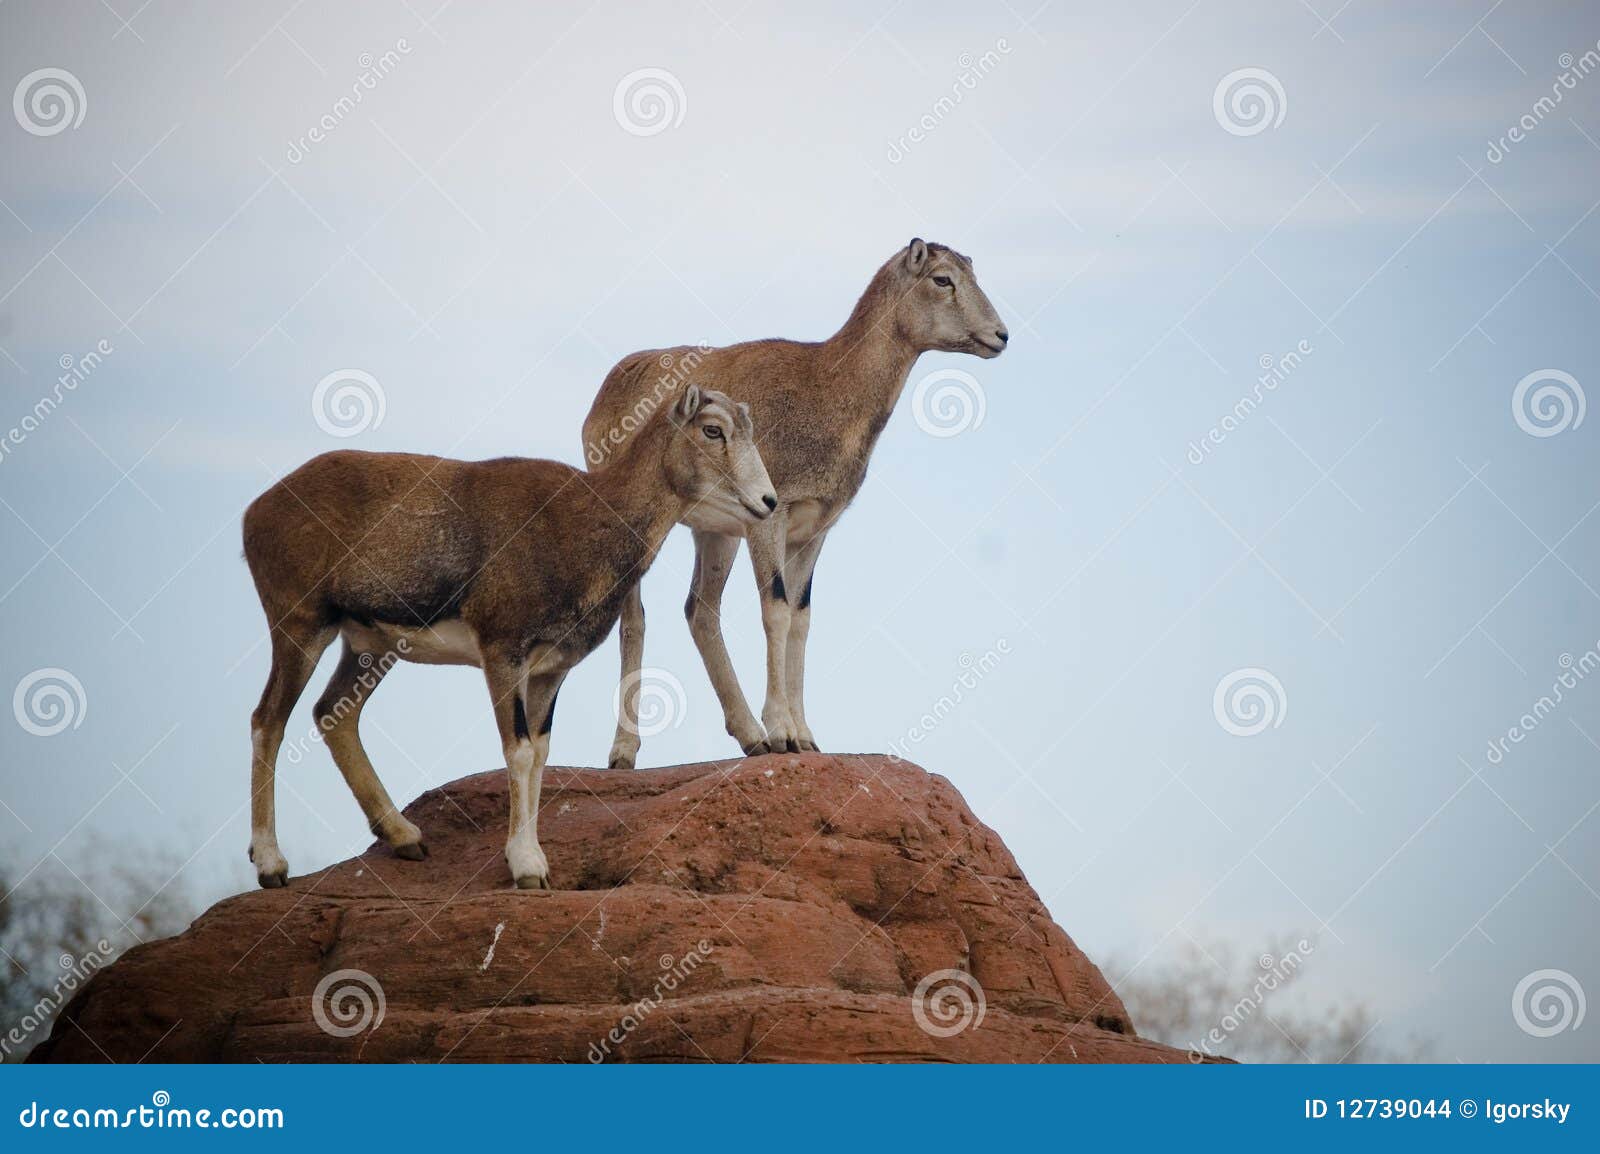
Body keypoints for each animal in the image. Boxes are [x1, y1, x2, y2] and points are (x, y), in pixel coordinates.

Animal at [241, 386, 775, 890]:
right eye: (712, 430)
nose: (767, 502)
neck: (583, 524)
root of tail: (256, 512)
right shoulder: (503, 654)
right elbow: (517, 751)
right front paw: (527, 869)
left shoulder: (549, 672)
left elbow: (539, 754)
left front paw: (531, 860)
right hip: (300, 628)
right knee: (268, 721)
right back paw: (271, 865)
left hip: (367, 649)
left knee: (333, 714)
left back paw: (407, 838)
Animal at [583, 239, 1007, 770]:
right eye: (942, 278)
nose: (1000, 335)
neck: (825, 389)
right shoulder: (772, 516)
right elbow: (776, 610)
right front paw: (782, 730)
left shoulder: (813, 530)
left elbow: (802, 621)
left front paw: (805, 737)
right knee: (635, 619)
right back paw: (625, 751)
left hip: (716, 534)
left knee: (700, 611)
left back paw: (749, 736)